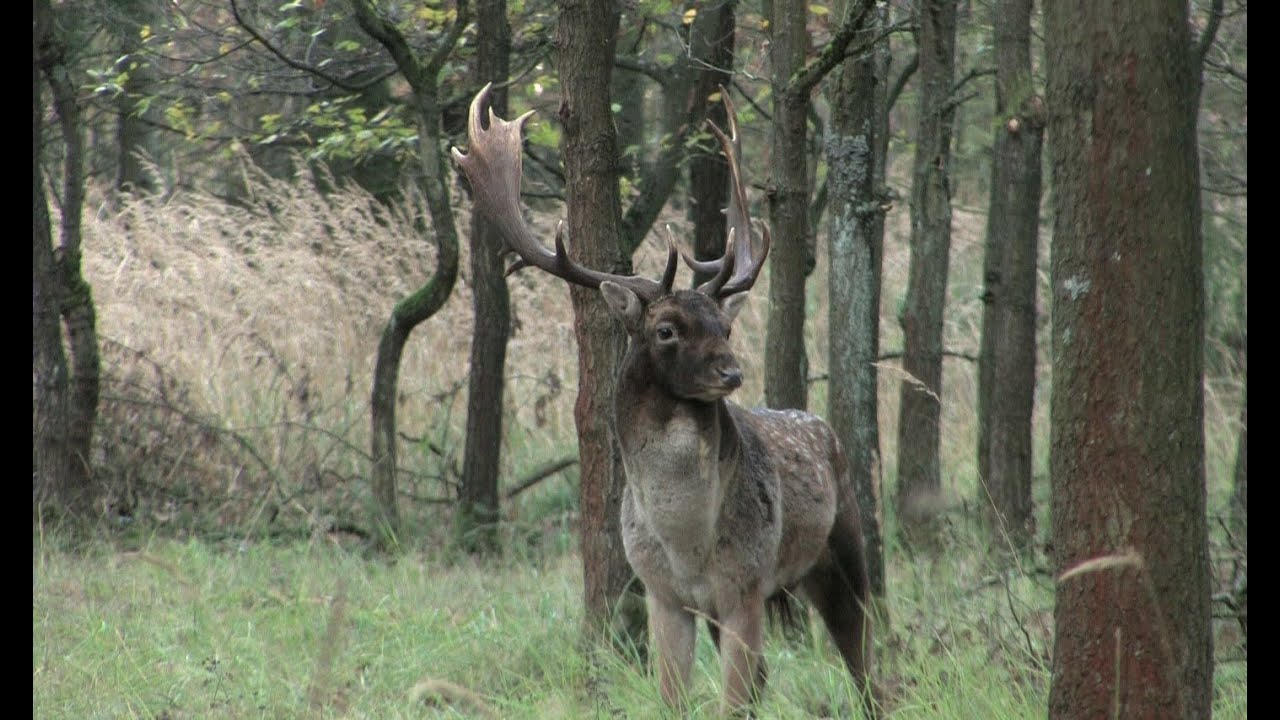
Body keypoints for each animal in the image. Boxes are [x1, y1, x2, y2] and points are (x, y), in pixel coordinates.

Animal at [452, 84, 875, 717]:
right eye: (666, 330)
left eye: (725, 324)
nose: (732, 371)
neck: (686, 543)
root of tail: (825, 429)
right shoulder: (661, 593)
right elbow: (676, 697)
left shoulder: (744, 584)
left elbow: (733, 701)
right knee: (778, 676)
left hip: (845, 544)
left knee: (869, 662)